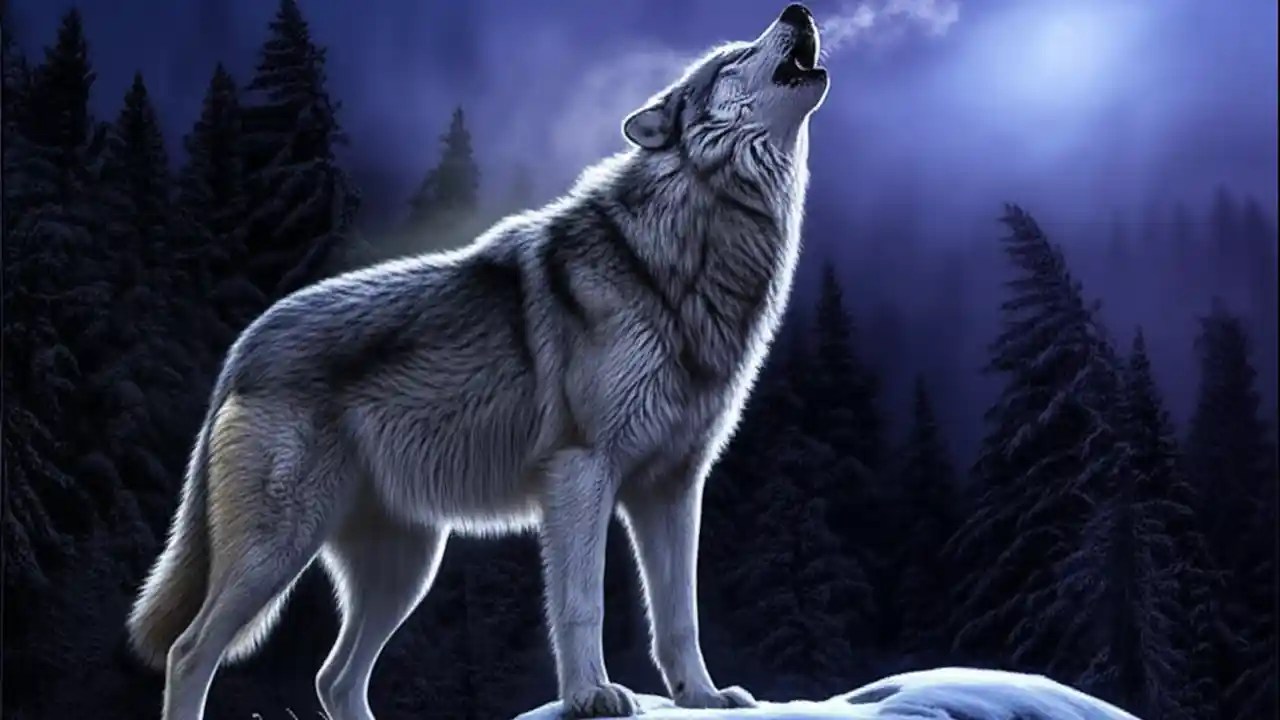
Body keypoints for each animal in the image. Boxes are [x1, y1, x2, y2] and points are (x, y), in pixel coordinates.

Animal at [126, 4, 828, 719]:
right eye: (735, 57)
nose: (797, 11)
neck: (684, 246)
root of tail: (243, 346)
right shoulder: (582, 471)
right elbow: (582, 604)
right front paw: (591, 695)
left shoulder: (675, 486)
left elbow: (681, 615)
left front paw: (705, 696)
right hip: (280, 550)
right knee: (190, 652)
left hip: (407, 566)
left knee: (333, 677)